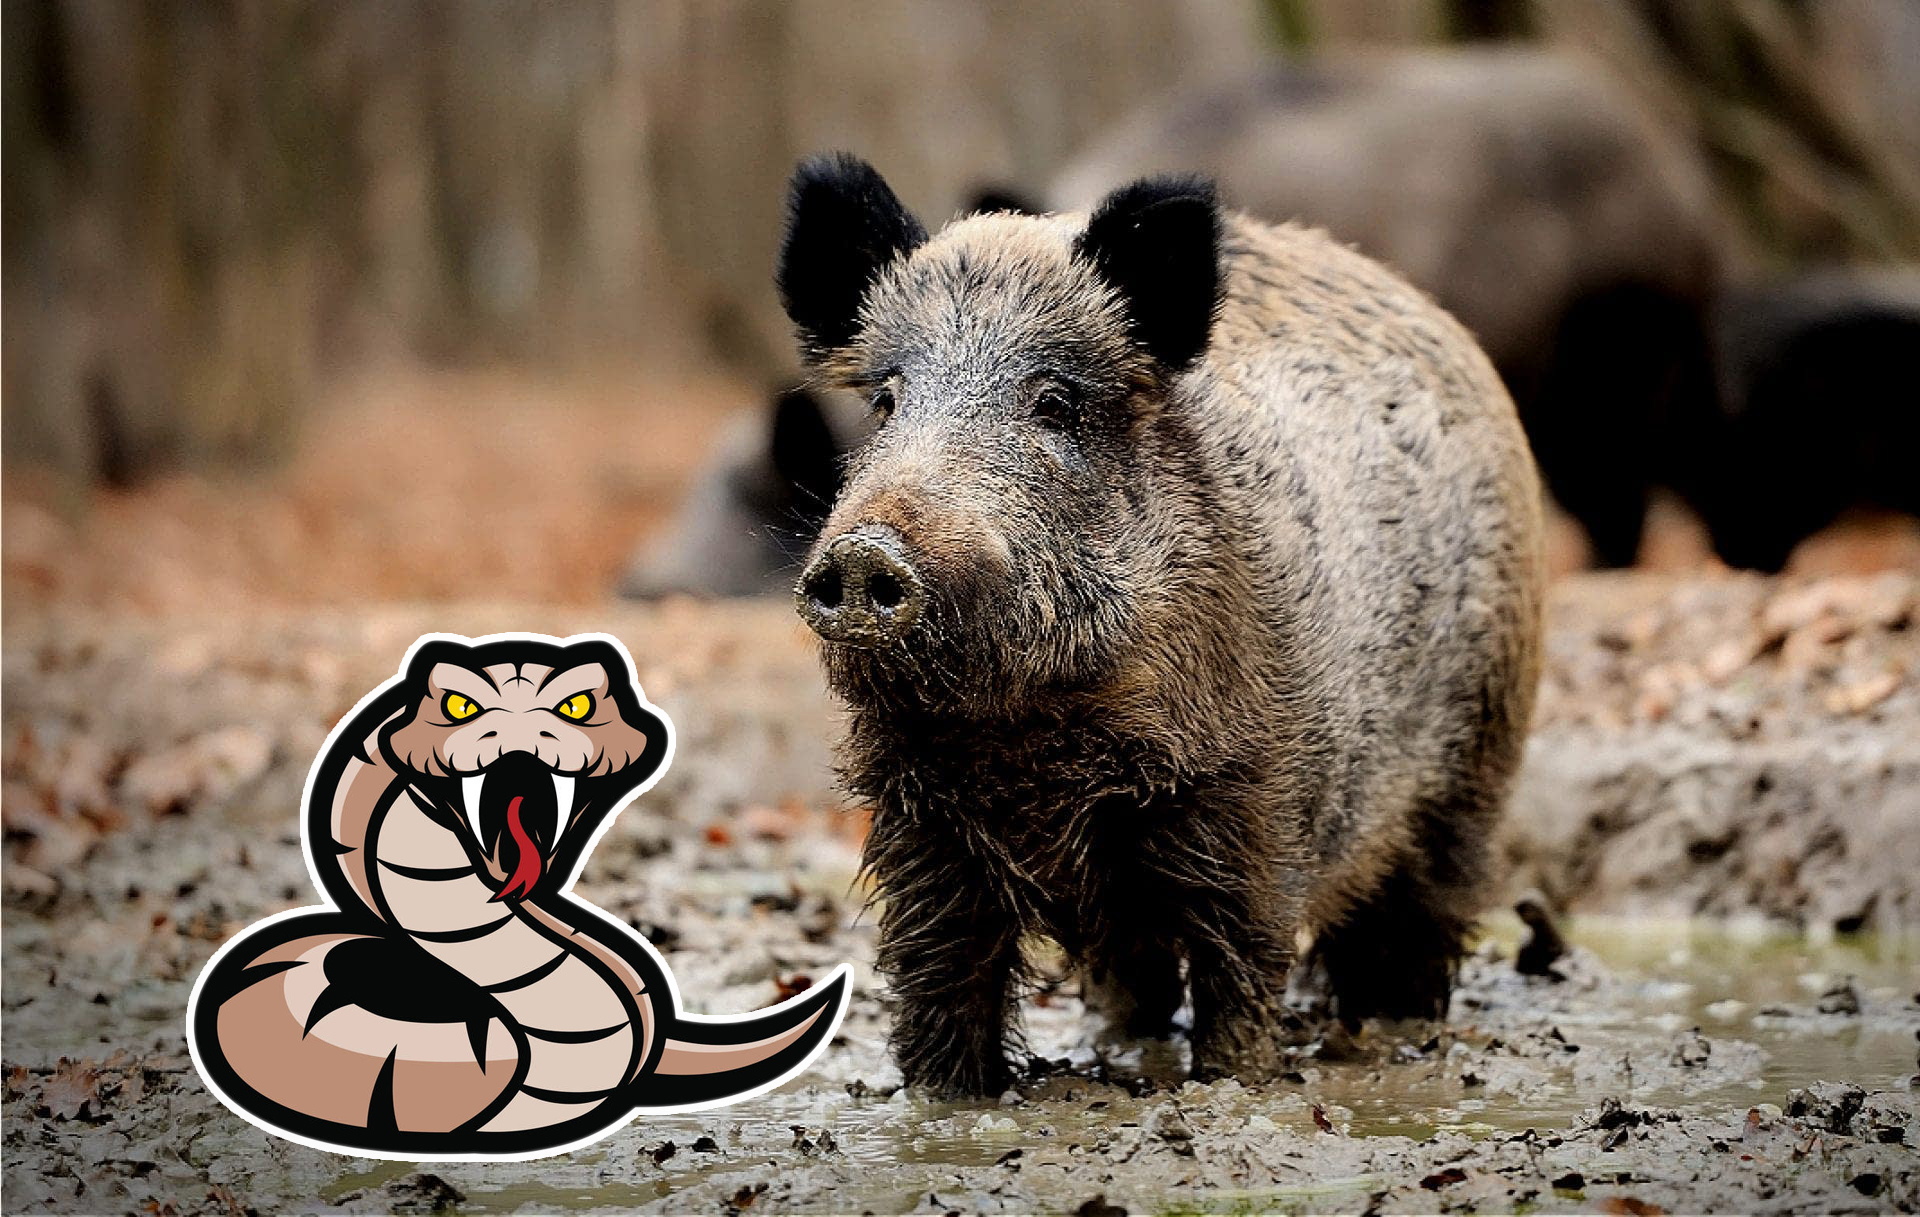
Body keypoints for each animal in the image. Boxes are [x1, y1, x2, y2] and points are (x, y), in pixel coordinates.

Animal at [778, 154, 1545, 1094]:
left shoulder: (1257, 799)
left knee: (1416, 932)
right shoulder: (919, 834)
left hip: (1476, 767)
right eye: (886, 401)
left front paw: (1229, 1081)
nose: (864, 551)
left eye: (1054, 402)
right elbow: (942, 991)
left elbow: (1239, 975)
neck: (1031, 745)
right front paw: (944, 1100)